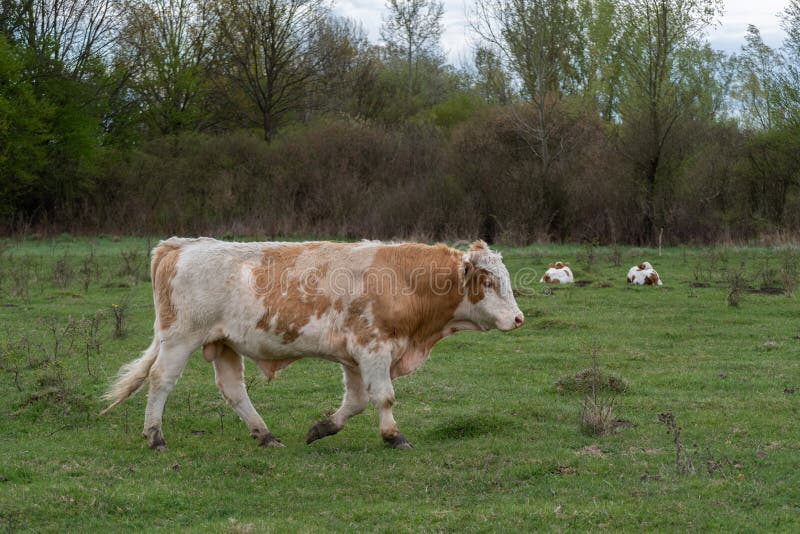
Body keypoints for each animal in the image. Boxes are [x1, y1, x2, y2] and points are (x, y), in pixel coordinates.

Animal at [101, 238, 524, 450]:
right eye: (489, 281)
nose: (518, 318)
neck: (403, 279)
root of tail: (181, 244)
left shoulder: (354, 357)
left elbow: (356, 401)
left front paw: (322, 428)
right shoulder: (373, 348)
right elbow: (383, 397)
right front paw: (393, 436)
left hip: (223, 344)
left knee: (233, 390)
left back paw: (265, 435)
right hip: (179, 338)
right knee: (160, 380)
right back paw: (155, 436)